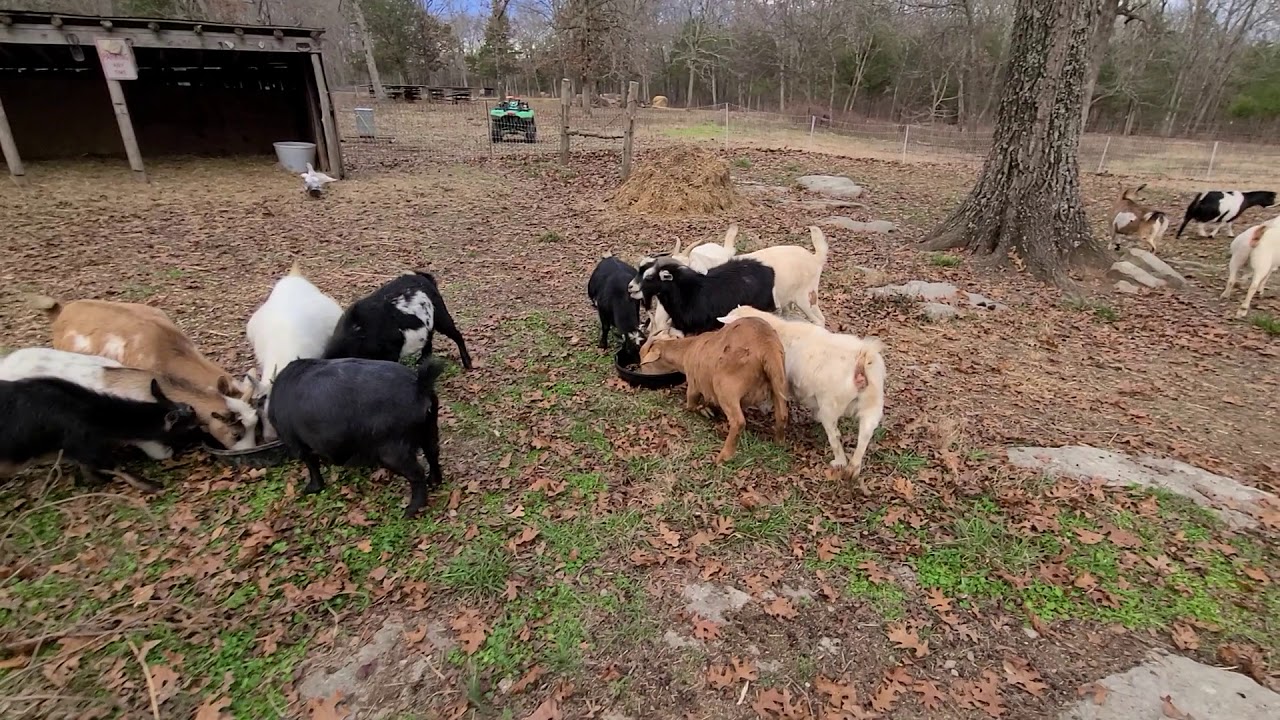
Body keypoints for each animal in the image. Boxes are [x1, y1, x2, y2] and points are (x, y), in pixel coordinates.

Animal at [267, 357, 445, 518]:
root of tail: (419, 385)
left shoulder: (300, 446)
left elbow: (312, 466)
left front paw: (312, 488)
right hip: (429, 431)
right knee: (432, 453)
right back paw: (434, 481)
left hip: (393, 452)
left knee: (417, 474)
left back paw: (411, 511)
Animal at [324, 272, 472, 370]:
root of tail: (424, 277)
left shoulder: (391, 351)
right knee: (429, 337)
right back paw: (422, 362)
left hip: (441, 314)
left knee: (456, 334)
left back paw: (468, 364)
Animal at [639, 317, 788, 463]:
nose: (640, 370)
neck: (687, 349)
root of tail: (767, 347)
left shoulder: (693, 383)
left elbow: (691, 405)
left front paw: (705, 410)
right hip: (778, 383)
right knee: (782, 415)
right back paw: (779, 442)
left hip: (726, 388)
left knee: (738, 422)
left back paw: (722, 458)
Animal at [719, 306, 885, 476]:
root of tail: (862, 361)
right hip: (872, 406)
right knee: (864, 435)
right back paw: (853, 469)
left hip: (831, 406)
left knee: (835, 436)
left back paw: (838, 462)